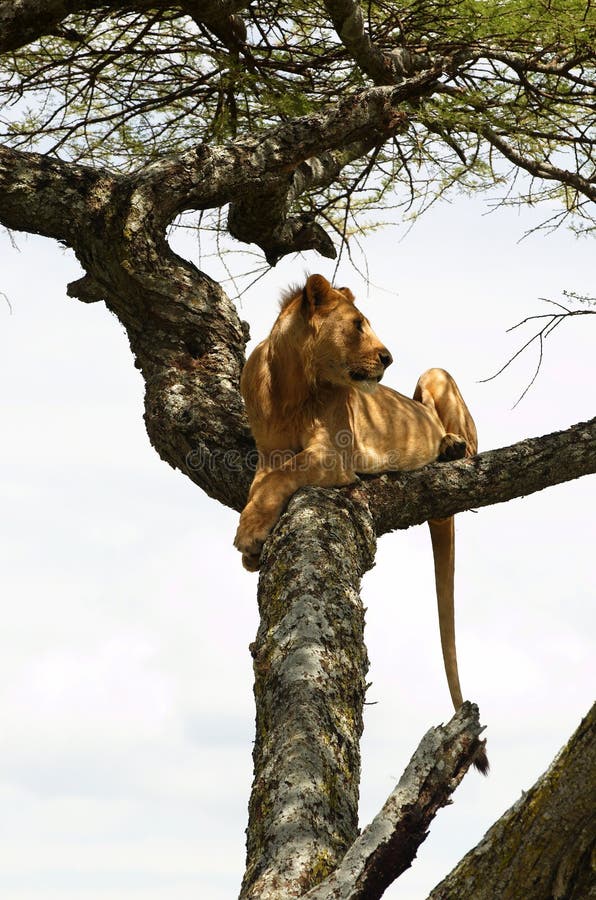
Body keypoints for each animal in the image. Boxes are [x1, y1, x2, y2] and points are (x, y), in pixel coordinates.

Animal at [235, 274, 487, 772]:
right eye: (356, 325)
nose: (388, 358)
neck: (292, 385)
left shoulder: (336, 453)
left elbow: (283, 478)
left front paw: (248, 535)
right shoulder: (267, 453)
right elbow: (262, 486)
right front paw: (251, 541)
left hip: (435, 375)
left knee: (472, 445)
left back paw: (450, 446)